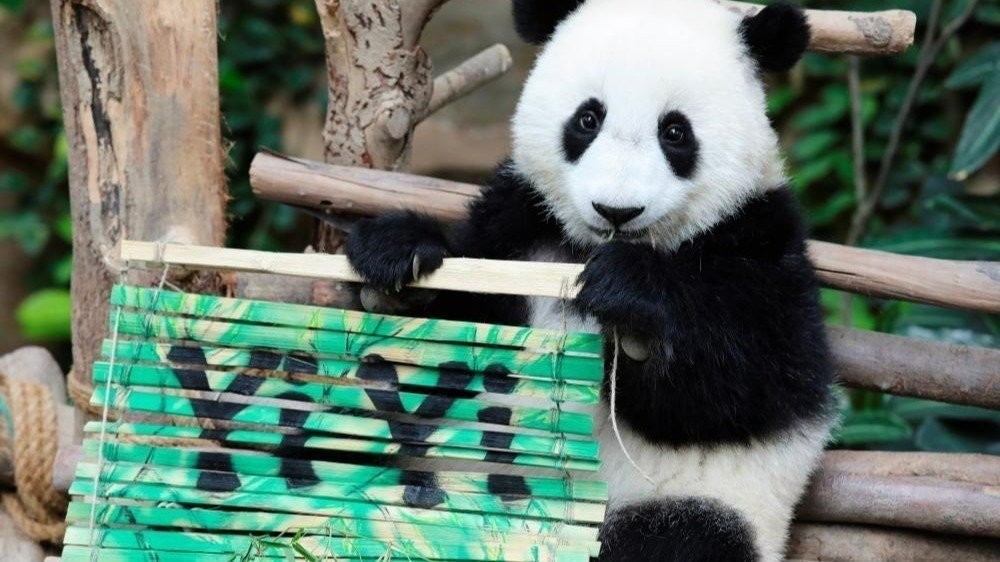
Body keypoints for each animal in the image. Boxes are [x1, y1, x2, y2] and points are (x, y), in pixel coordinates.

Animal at [346, 0, 836, 560]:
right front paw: (397, 263)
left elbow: (753, 384)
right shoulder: (520, 221)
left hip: (692, 504)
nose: (616, 211)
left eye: (675, 132)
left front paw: (630, 300)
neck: (591, 248)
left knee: (683, 536)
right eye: (588, 119)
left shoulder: (761, 238)